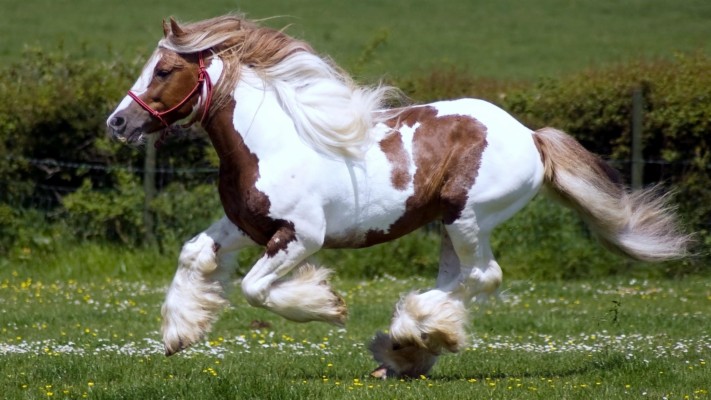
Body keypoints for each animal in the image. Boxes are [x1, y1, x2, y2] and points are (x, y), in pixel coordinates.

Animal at [106, 14, 689, 378]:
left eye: (164, 70)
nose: (118, 123)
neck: (272, 141)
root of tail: (531, 137)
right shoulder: (244, 226)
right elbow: (193, 254)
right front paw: (179, 334)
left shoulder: (301, 237)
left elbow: (254, 289)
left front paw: (327, 305)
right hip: (450, 227)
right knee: (461, 279)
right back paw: (407, 349)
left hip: (467, 217)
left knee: (483, 276)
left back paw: (411, 336)